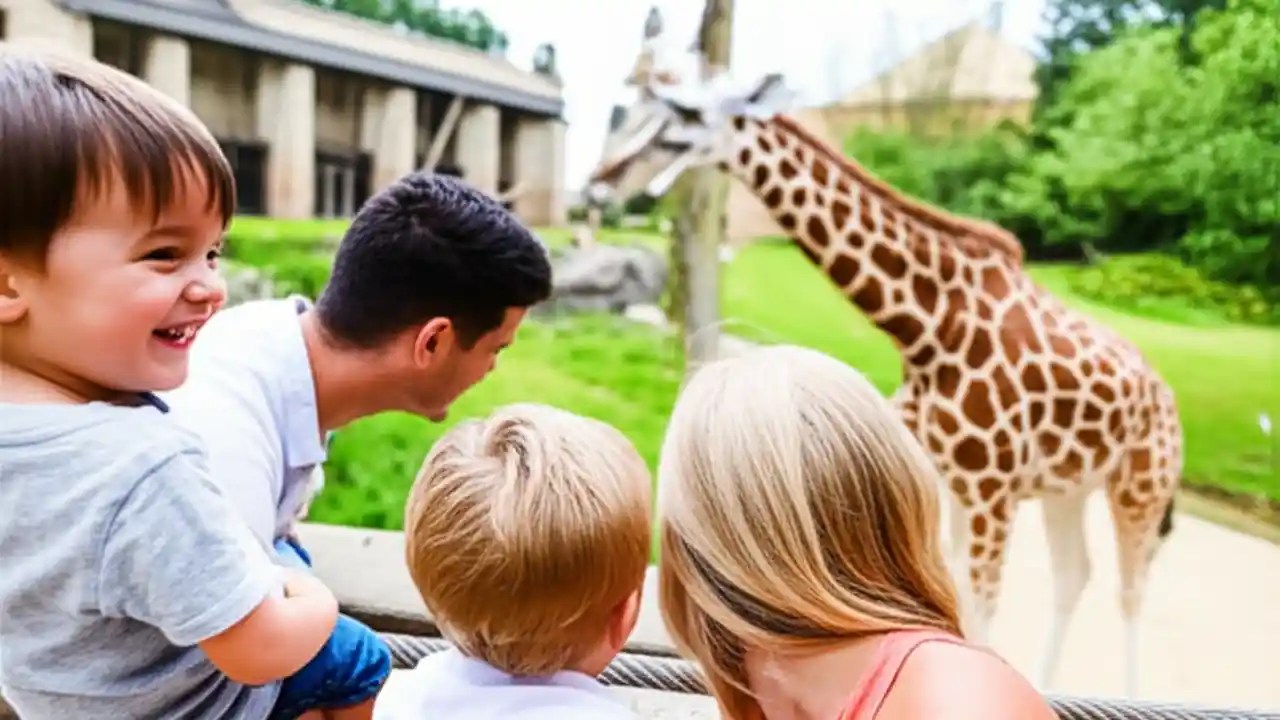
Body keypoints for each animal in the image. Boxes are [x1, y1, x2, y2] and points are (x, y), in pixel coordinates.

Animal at [584, 62, 1183, 698]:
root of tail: (1165, 394)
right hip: (1068, 487)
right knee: (1075, 574)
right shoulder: (946, 470)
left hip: (1140, 484)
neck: (925, 328)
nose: (599, 185)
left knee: (1130, 589)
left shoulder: (991, 484)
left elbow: (980, 607)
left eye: (686, 114)